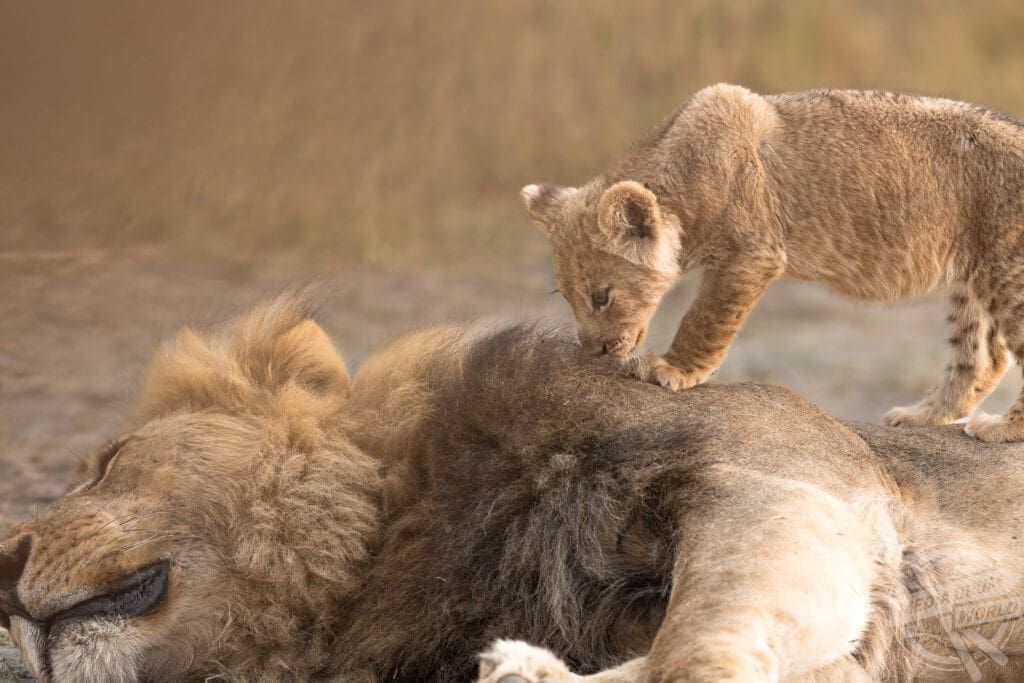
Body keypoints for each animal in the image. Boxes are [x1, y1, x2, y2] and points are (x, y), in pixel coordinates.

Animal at [521, 83, 1024, 442]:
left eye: (601, 297)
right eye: (566, 298)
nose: (594, 351)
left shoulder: (752, 253)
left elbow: (705, 318)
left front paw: (672, 370)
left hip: (1009, 269)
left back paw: (1002, 429)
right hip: (973, 276)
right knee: (983, 357)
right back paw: (924, 416)